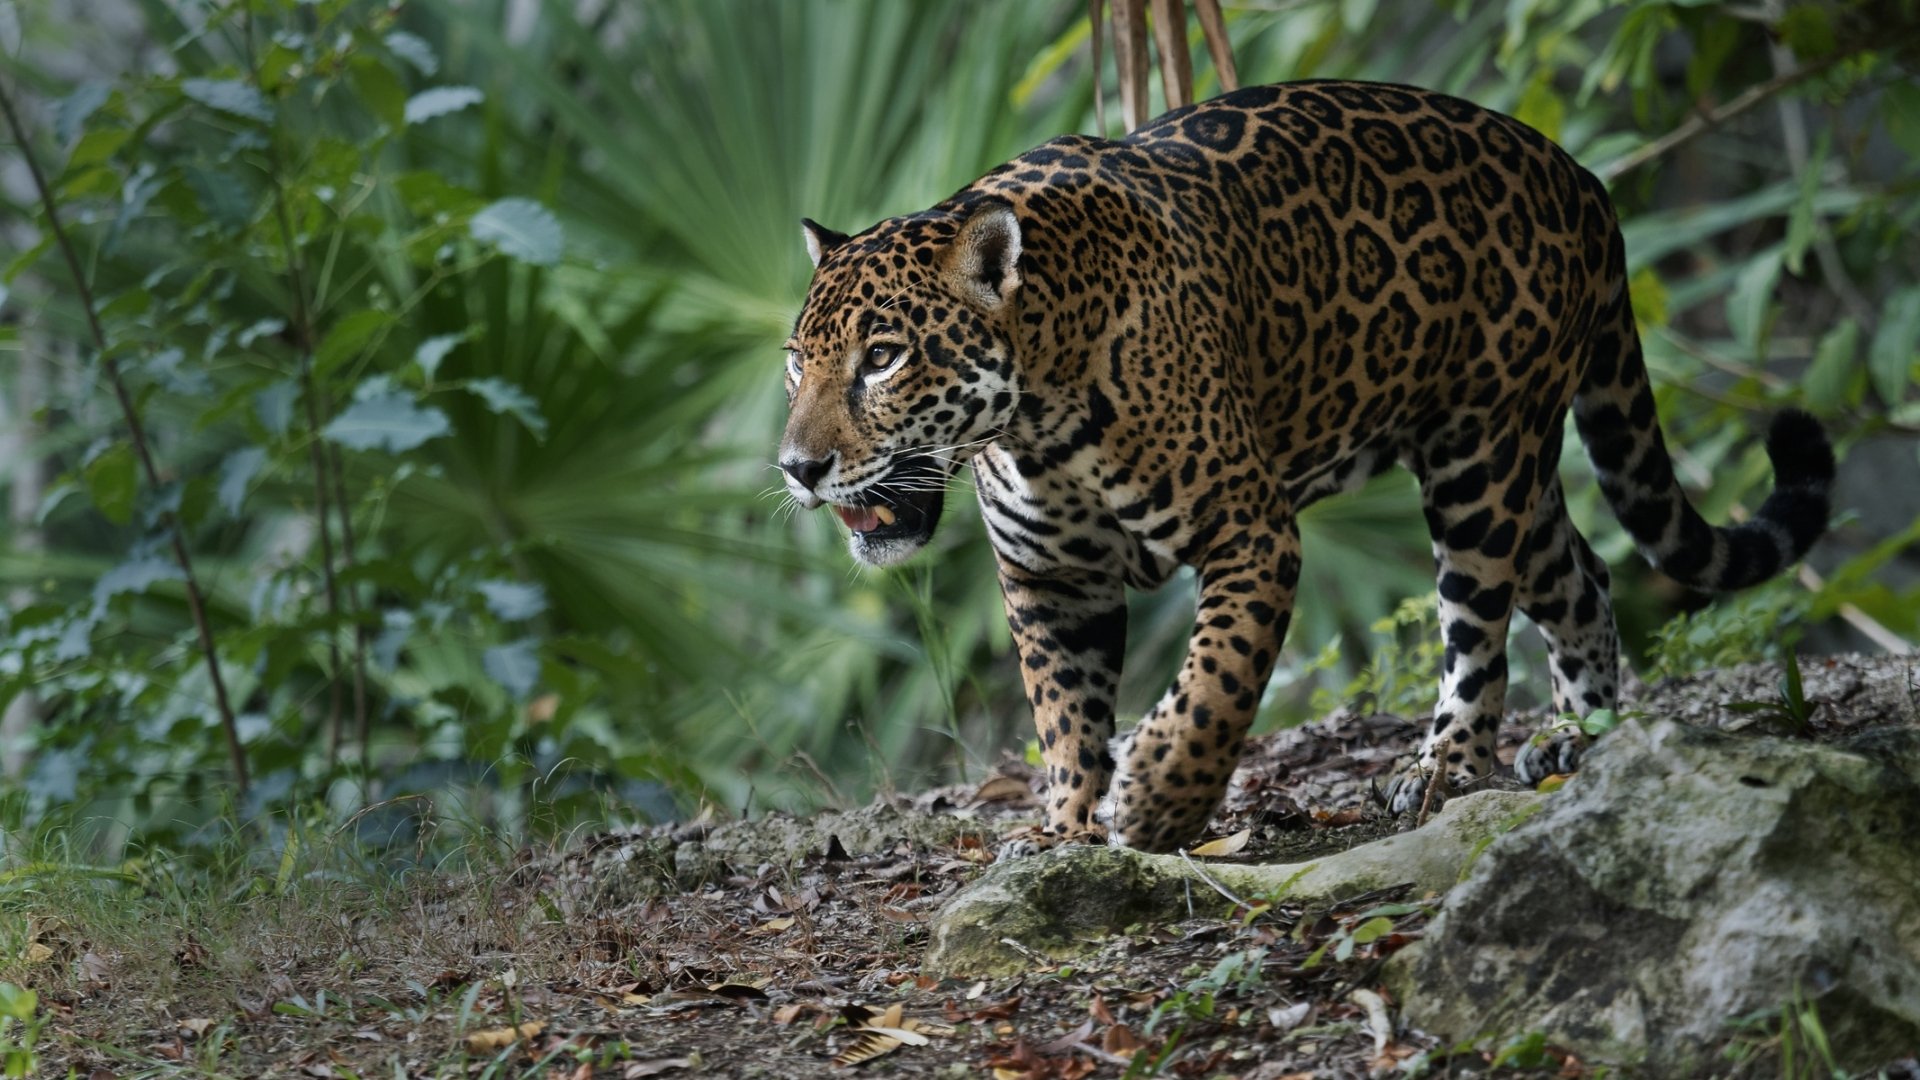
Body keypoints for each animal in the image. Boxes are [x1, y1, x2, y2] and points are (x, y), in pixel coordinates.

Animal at [777, 80, 1834, 855]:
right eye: (796, 362)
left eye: (883, 358)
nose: (796, 467)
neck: (1039, 418)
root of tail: (1579, 175)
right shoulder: (1050, 578)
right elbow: (1064, 714)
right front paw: (1068, 830)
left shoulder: (1251, 531)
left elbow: (1216, 682)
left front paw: (1158, 799)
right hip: (1515, 473)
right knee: (1582, 576)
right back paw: (1580, 738)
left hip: (1482, 458)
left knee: (1477, 629)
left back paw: (1447, 766)